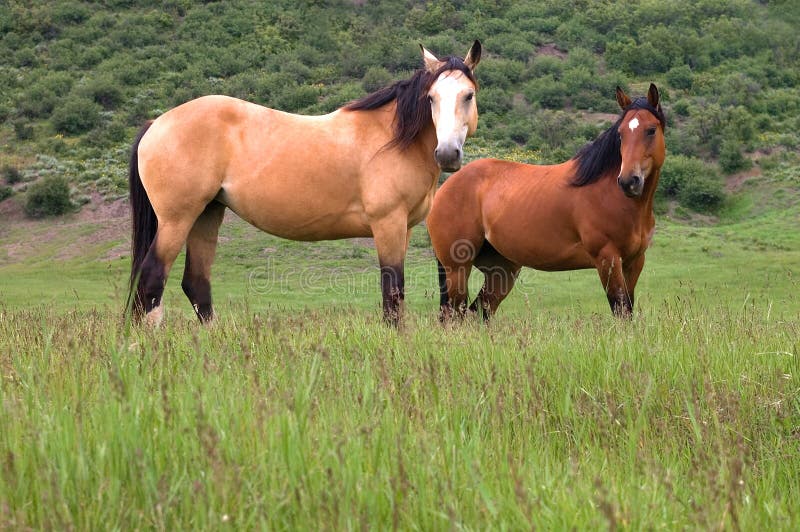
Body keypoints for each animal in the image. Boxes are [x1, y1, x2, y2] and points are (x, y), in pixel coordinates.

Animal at [127, 41, 481, 326]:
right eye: (431, 98)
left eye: (468, 95)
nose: (447, 153)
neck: (392, 138)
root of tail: (156, 122)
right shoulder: (388, 224)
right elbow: (392, 292)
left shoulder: (404, 228)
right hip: (177, 220)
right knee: (152, 279)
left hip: (206, 214)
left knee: (196, 283)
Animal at [428, 84, 666, 320]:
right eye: (620, 134)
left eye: (651, 130)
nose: (628, 181)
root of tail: (443, 190)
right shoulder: (607, 259)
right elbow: (621, 311)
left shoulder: (634, 263)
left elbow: (628, 310)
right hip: (457, 269)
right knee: (453, 316)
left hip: (502, 271)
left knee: (478, 312)